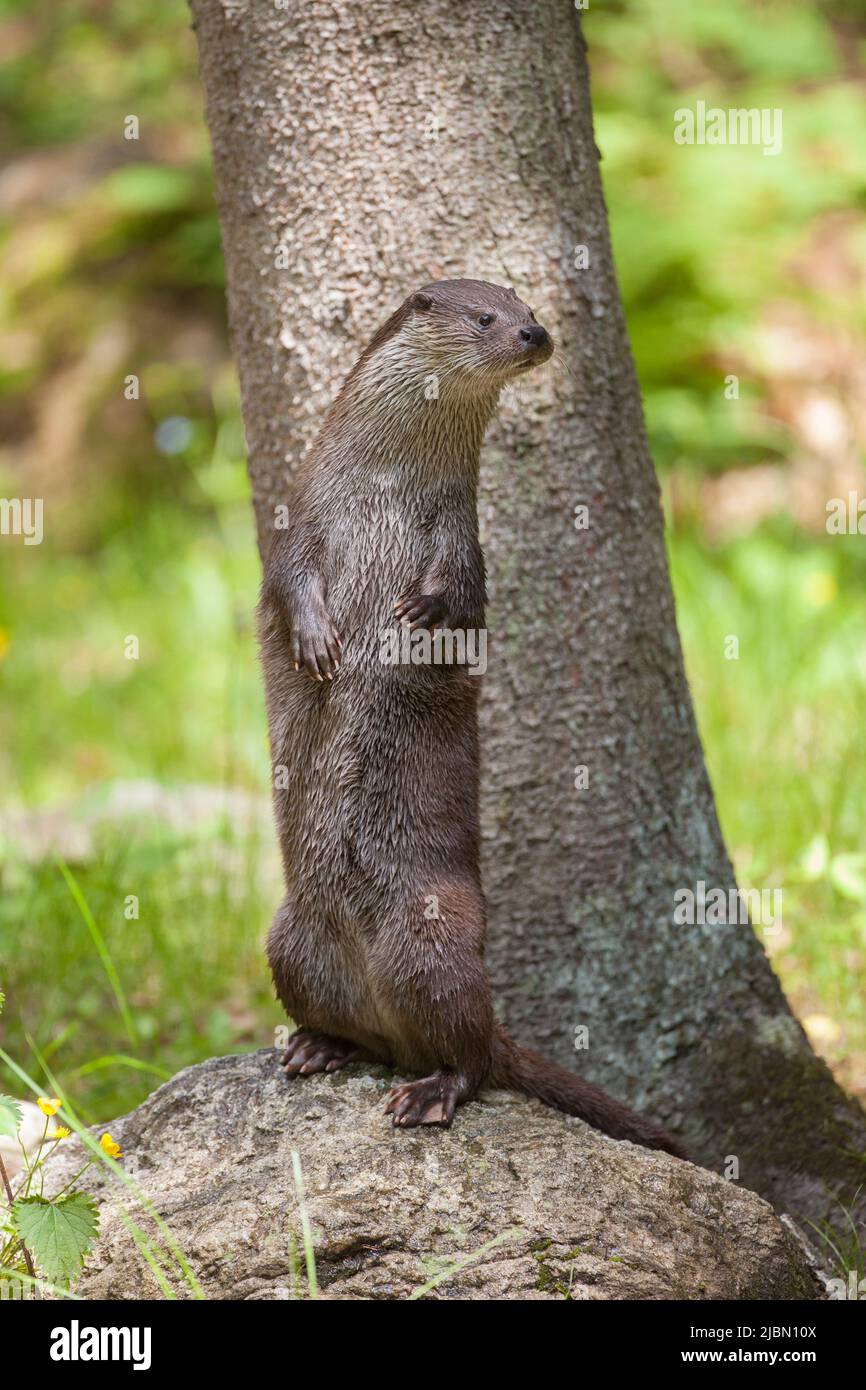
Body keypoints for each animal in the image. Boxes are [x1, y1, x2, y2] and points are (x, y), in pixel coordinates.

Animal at [258, 279, 685, 1157]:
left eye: (526, 306)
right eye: (486, 315)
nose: (535, 333)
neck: (383, 487)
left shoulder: (459, 531)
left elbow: (463, 594)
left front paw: (420, 615)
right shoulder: (301, 516)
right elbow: (291, 583)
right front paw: (318, 641)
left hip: (437, 937)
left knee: (471, 1058)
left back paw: (427, 1091)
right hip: (290, 939)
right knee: (366, 1031)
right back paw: (319, 1046)